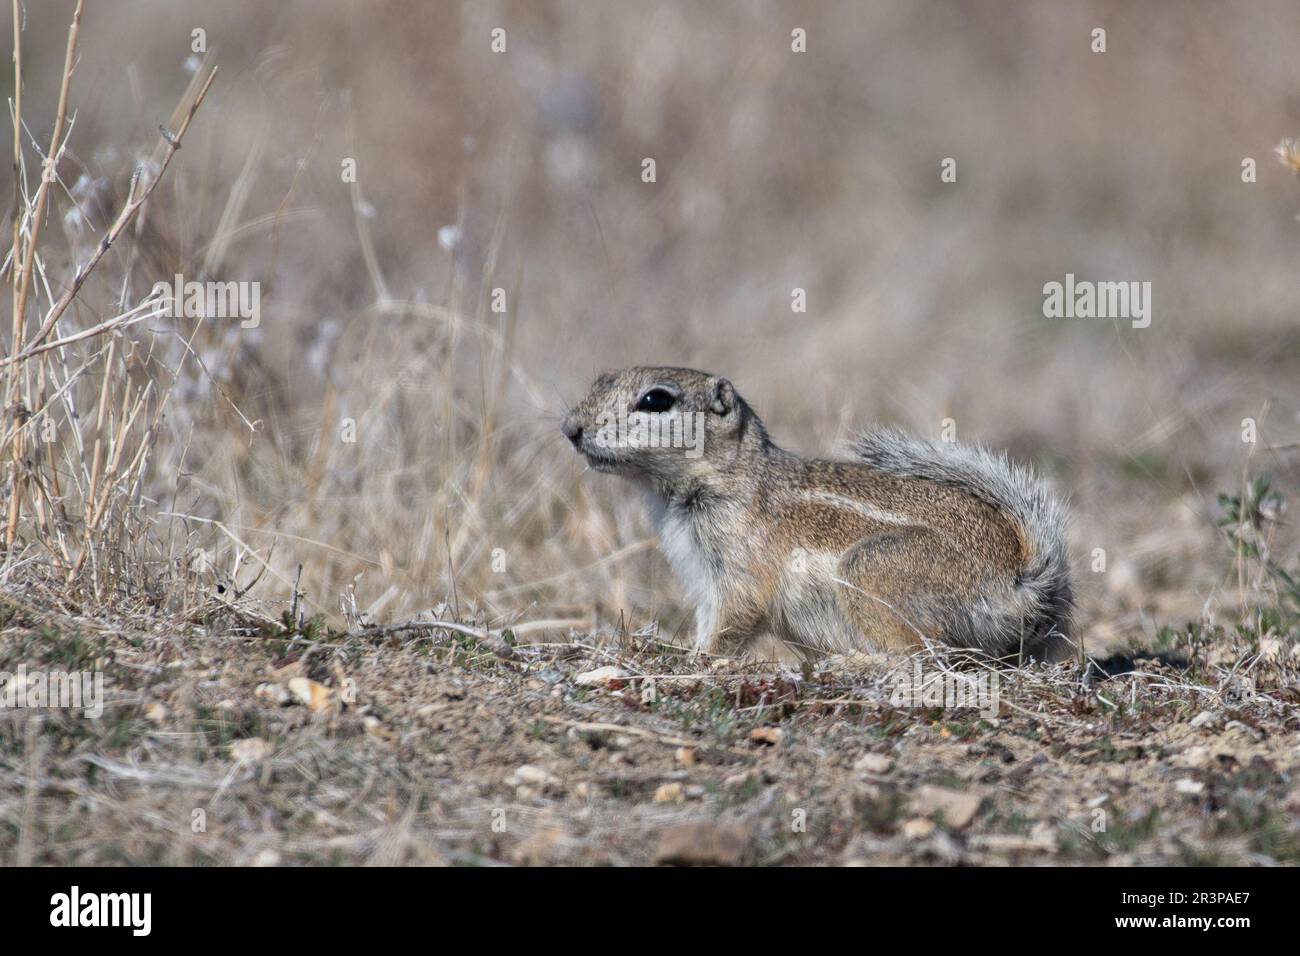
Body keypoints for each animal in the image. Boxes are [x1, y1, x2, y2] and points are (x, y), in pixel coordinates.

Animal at [561, 367, 1074, 663]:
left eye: (655, 400)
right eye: (599, 380)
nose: (570, 429)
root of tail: (1021, 581)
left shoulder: (742, 572)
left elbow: (733, 620)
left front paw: (699, 660)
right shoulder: (705, 579)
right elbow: (709, 618)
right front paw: (682, 648)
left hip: (871, 571)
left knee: (921, 653)